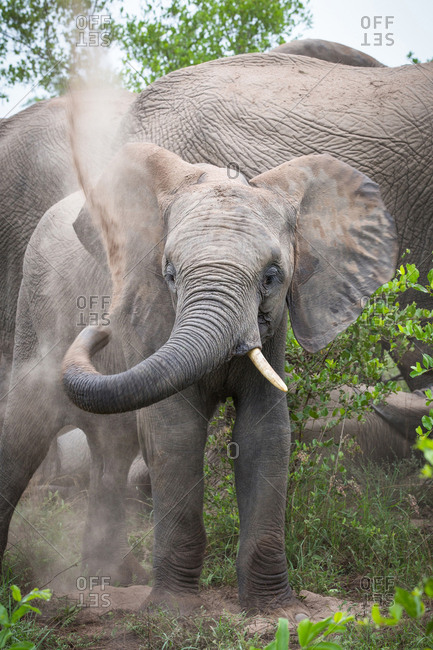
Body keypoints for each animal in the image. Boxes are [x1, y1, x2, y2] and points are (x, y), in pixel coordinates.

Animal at [41, 141, 397, 615]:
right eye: (170, 273)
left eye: (271, 277)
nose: (100, 329)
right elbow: (176, 432)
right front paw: (171, 611)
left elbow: (266, 433)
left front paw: (275, 609)